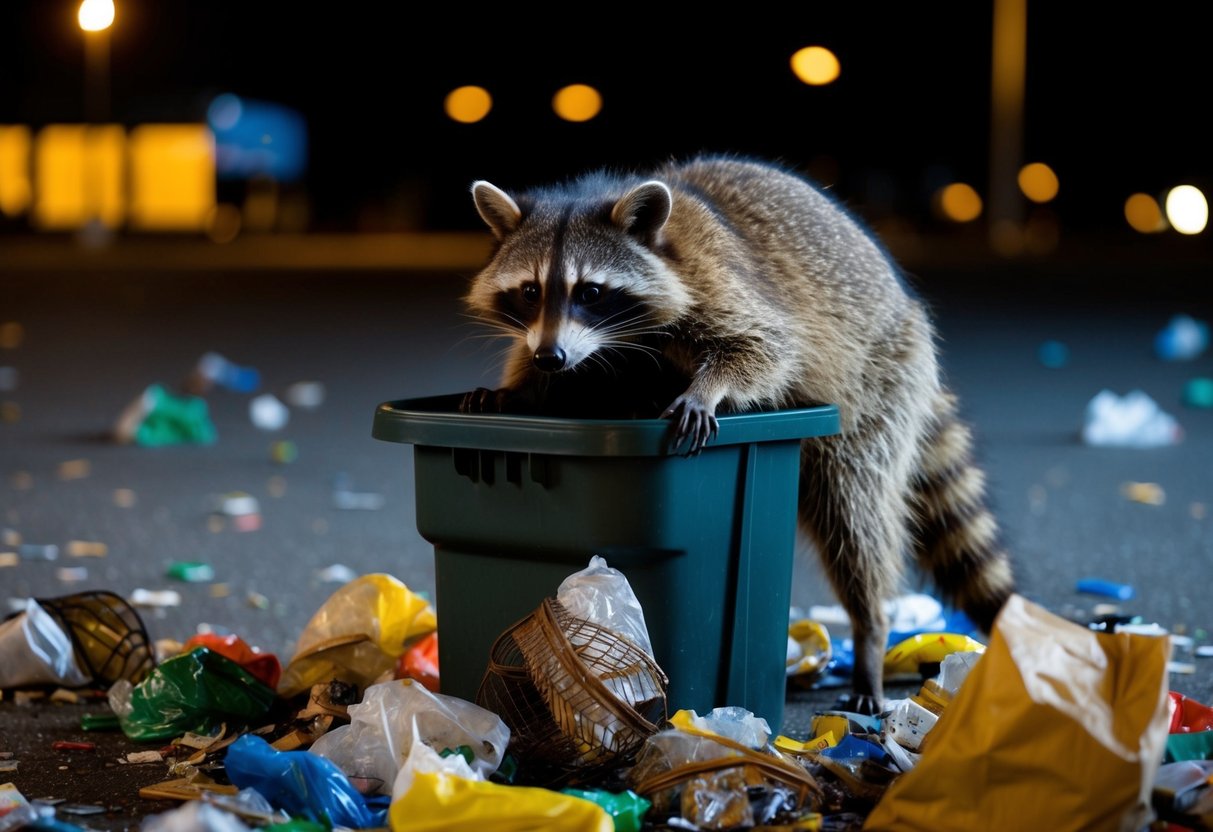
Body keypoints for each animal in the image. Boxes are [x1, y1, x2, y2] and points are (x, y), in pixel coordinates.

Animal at [460, 154, 1015, 713]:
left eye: (590, 292)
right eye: (530, 291)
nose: (550, 356)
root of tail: (907, 306)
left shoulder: (719, 281)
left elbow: (766, 346)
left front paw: (710, 387)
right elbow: (550, 374)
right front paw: (517, 390)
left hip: (880, 383)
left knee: (854, 516)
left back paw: (870, 634)